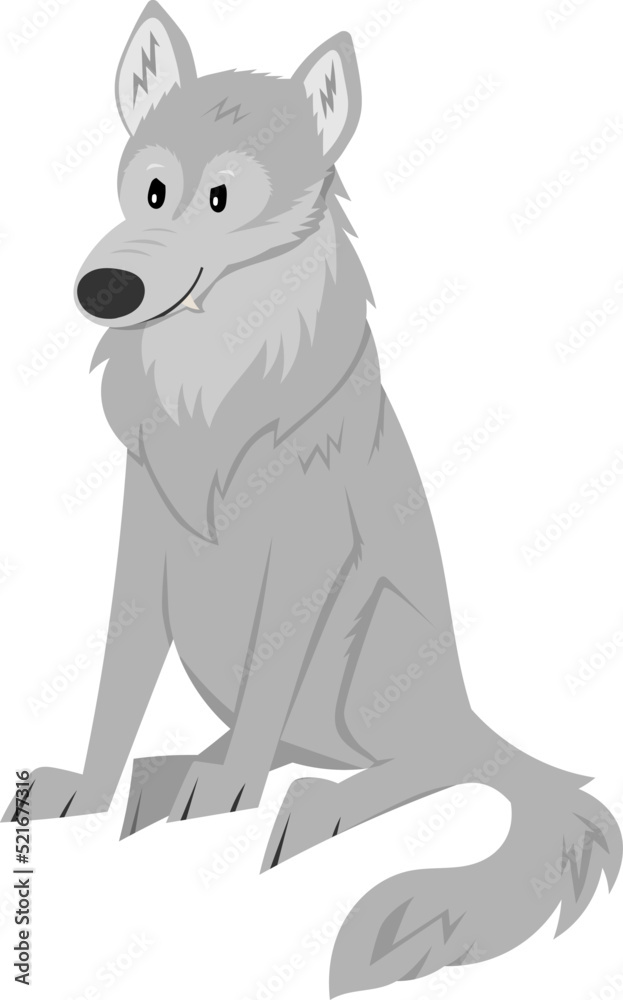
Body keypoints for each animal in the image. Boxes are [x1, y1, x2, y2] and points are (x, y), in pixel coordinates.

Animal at [4, 4, 620, 995]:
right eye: (150, 189)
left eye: (222, 199)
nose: (105, 290)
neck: (212, 373)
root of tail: (472, 709)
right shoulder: (144, 532)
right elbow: (117, 682)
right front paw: (94, 790)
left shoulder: (309, 550)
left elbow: (272, 675)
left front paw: (232, 793)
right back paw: (183, 766)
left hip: (377, 645)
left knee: (427, 761)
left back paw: (314, 799)